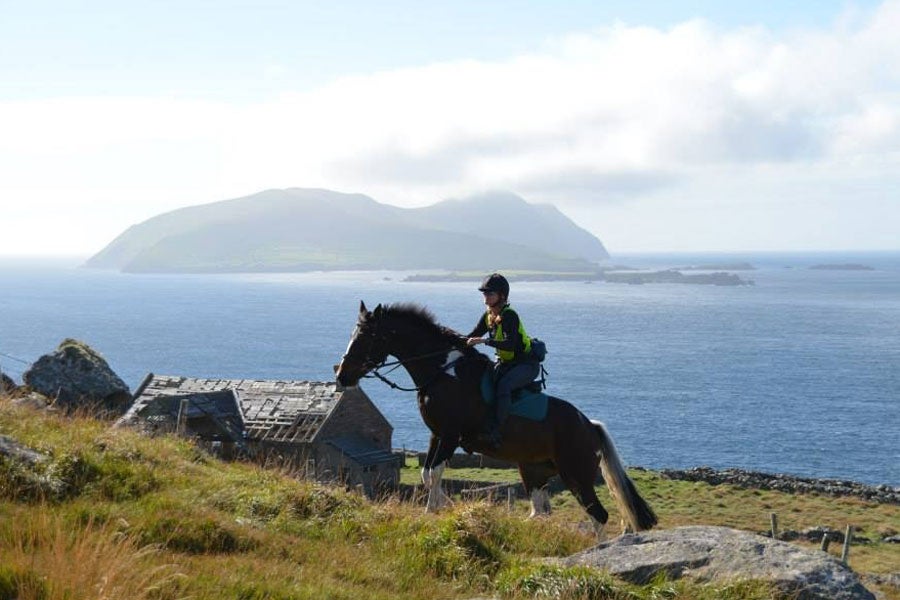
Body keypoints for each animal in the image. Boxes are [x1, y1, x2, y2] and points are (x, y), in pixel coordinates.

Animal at [336, 301, 658, 535]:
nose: (341, 376)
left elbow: (435, 474)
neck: (442, 372)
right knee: (540, 511)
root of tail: (589, 426)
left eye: (364, 337)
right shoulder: (436, 434)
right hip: (534, 472)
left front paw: (434, 510)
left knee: (598, 516)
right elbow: (428, 475)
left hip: (576, 476)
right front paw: (444, 506)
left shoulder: (450, 435)